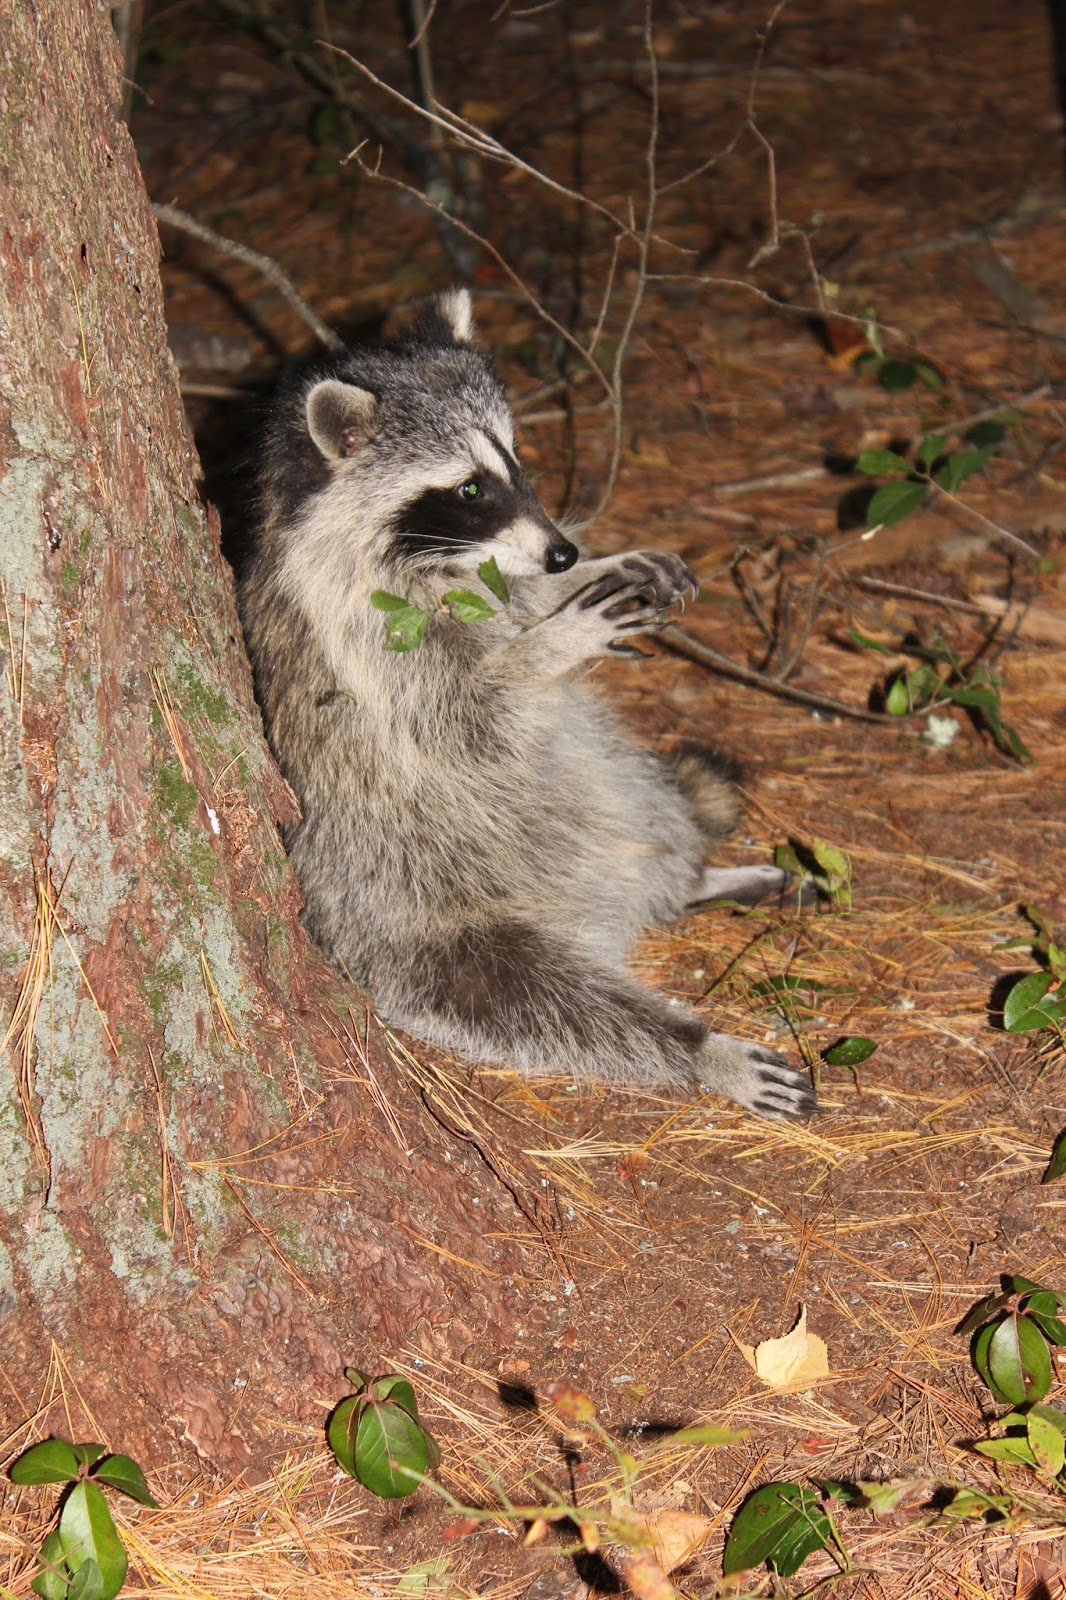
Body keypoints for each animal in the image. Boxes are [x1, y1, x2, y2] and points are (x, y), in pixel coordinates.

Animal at [240, 290, 817, 1121]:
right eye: (470, 488)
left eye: (515, 458)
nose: (563, 552)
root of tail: (605, 915)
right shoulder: (364, 639)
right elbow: (467, 719)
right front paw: (555, 642)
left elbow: (519, 596)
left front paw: (593, 572)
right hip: (414, 912)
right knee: (539, 997)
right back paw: (697, 1047)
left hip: (613, 777)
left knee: (654, 810)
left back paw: (691, 882)